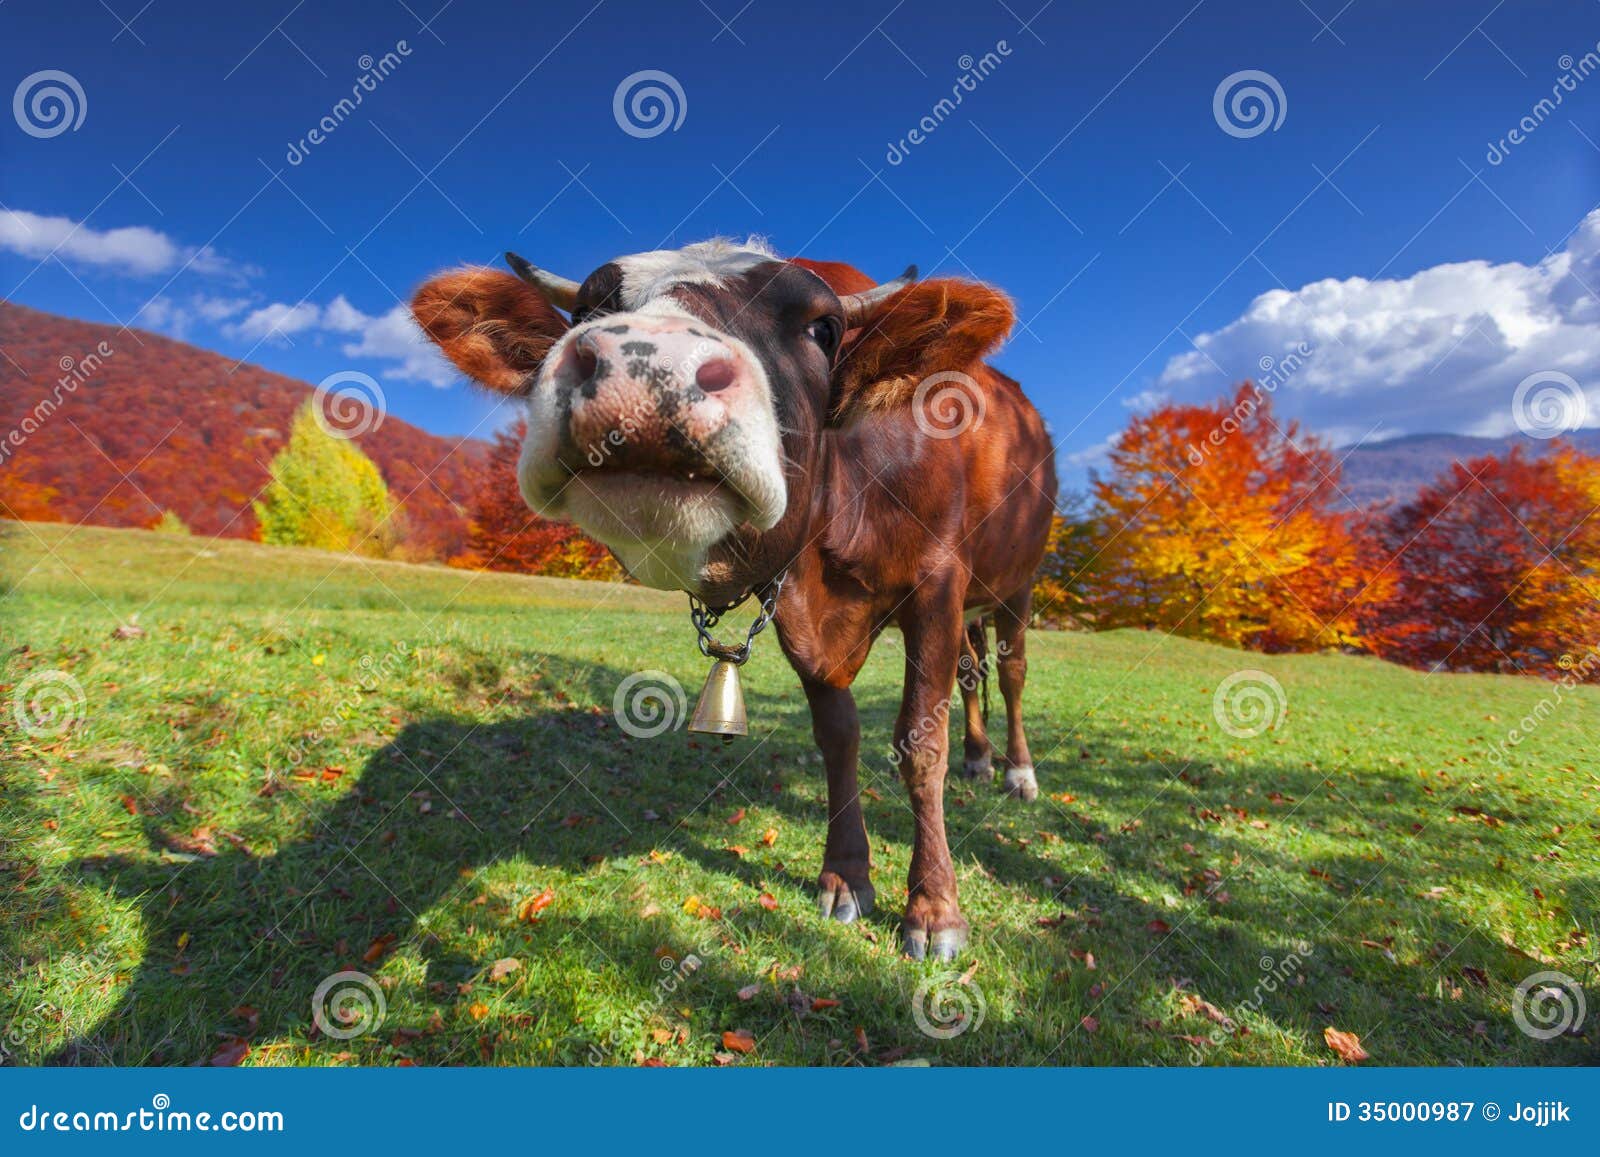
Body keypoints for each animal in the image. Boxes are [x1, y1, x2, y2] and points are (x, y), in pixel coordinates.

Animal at [412, 238, 1056, 960]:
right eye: (586, 309)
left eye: (823, 329)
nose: (649, 365)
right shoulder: (802, 615)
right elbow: (839, 737)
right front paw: (846, 875)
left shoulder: (938, 583)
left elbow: (920, 744)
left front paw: (934, 908)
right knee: (972, 674)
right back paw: (979, 757)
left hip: (1016, 583)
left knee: (1010, 673)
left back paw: (1017, 772)